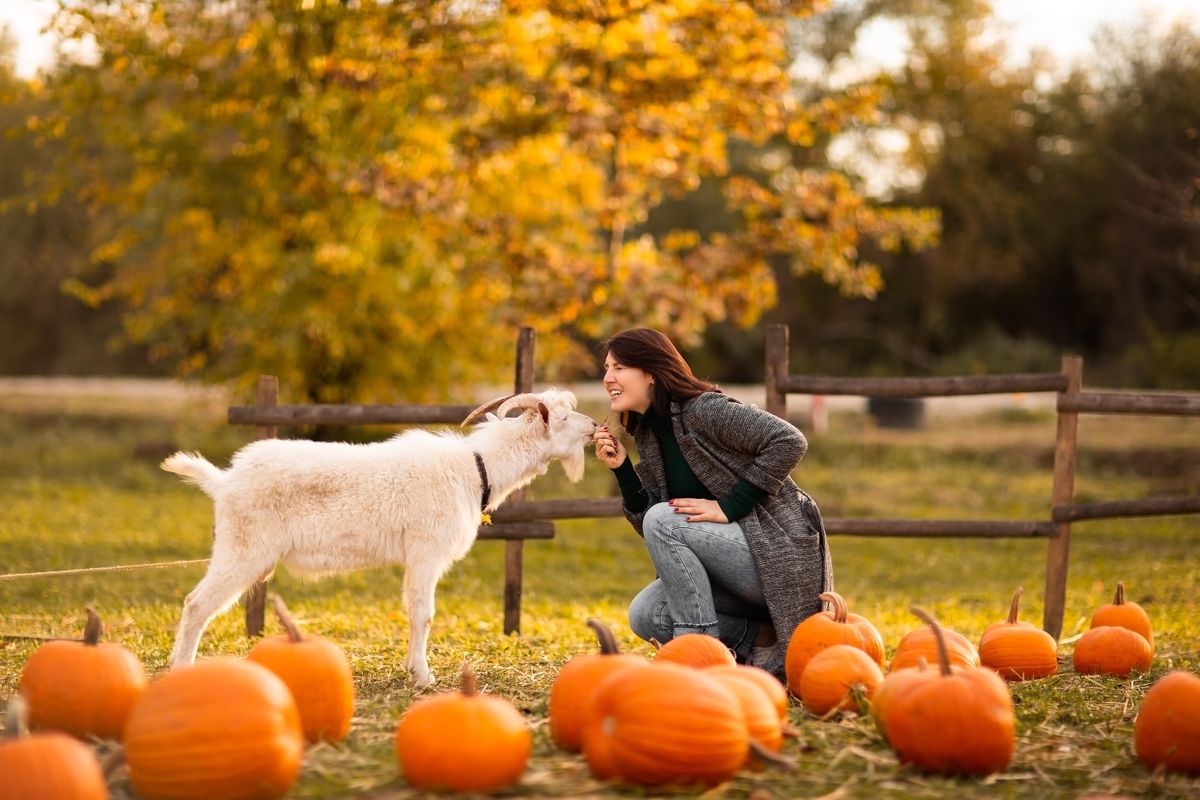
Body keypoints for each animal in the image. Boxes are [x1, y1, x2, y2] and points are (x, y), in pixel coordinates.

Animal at [161, 388, 596, 688]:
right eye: (561, 417)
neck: (476, 469)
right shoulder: (425, 551)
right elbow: (423, 613)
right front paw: (423, 676)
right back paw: (181, 670)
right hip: (243, 547)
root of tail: (223, 482)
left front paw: (412, 669)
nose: (594, 427)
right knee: (196, 603)